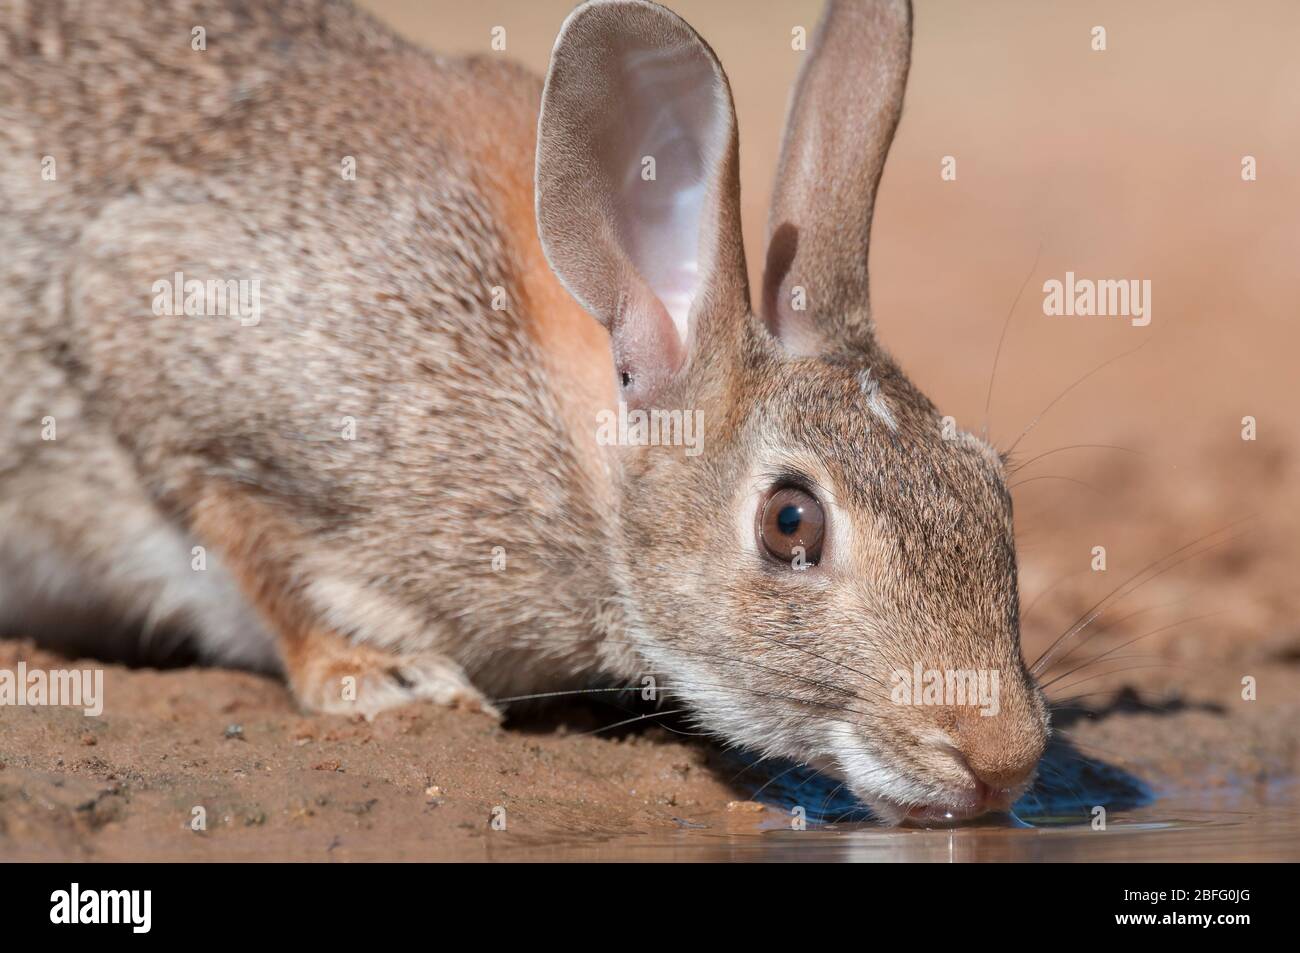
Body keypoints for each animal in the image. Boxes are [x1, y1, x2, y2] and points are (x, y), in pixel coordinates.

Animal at [0, 0, 1049, 823]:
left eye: (993, 483)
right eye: (791, 522)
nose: (1004, 759)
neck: (586, 468)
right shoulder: (168, 342)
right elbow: (248, 543)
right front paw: (379, 679)